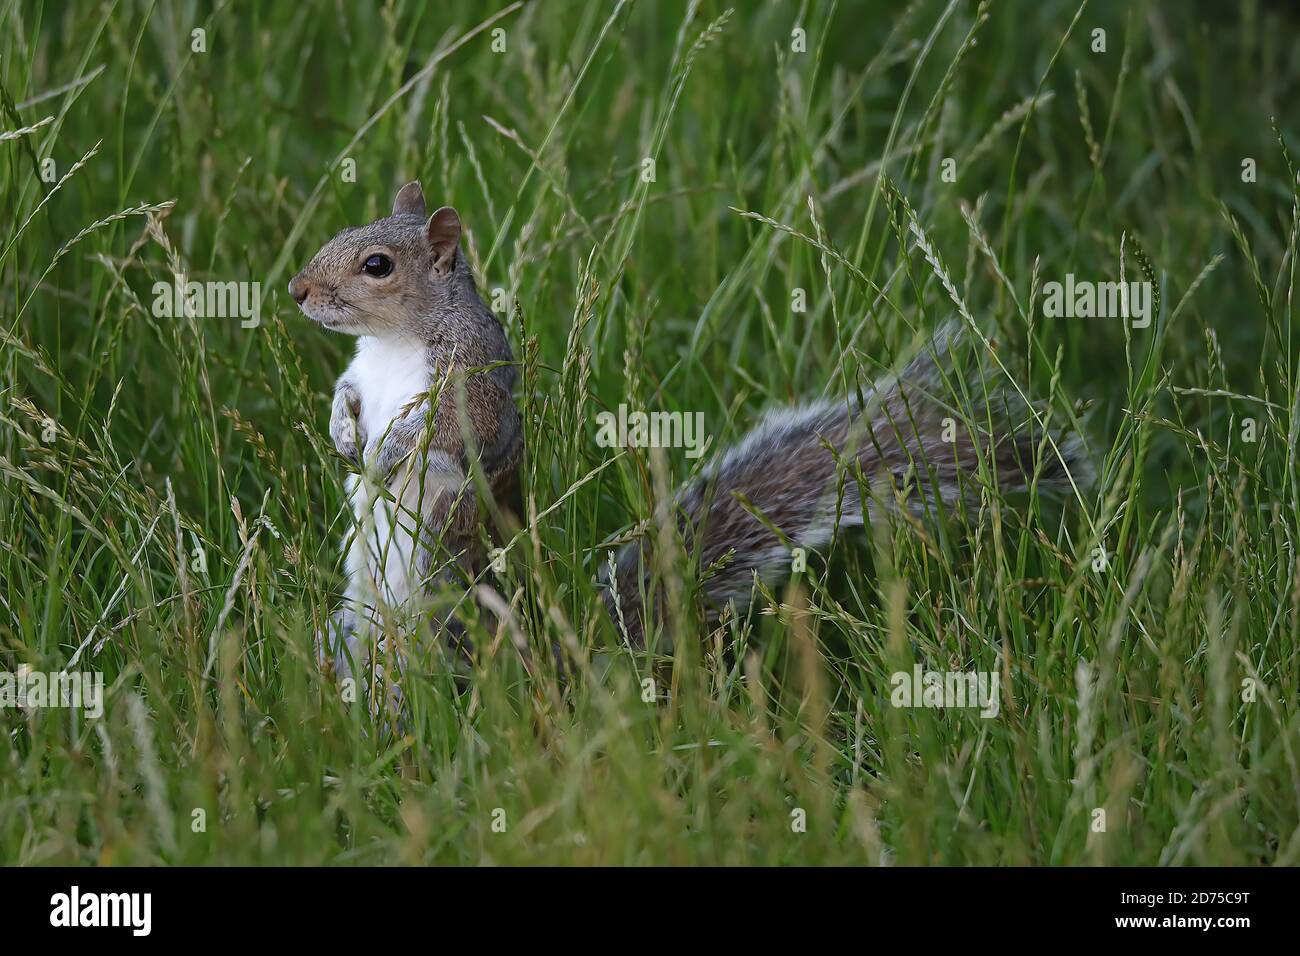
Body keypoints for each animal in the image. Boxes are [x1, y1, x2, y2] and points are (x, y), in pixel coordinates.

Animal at [291, 183, 1092, 680]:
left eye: (376, 264)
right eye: (341, 233)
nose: (297, 291)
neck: (395, 341)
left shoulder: (474, 383)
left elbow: (451, 439)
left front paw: (388, 454)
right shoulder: (364, 374)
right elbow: (346, 394)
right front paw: (343, 435)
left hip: (441, 600)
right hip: (355, 624)